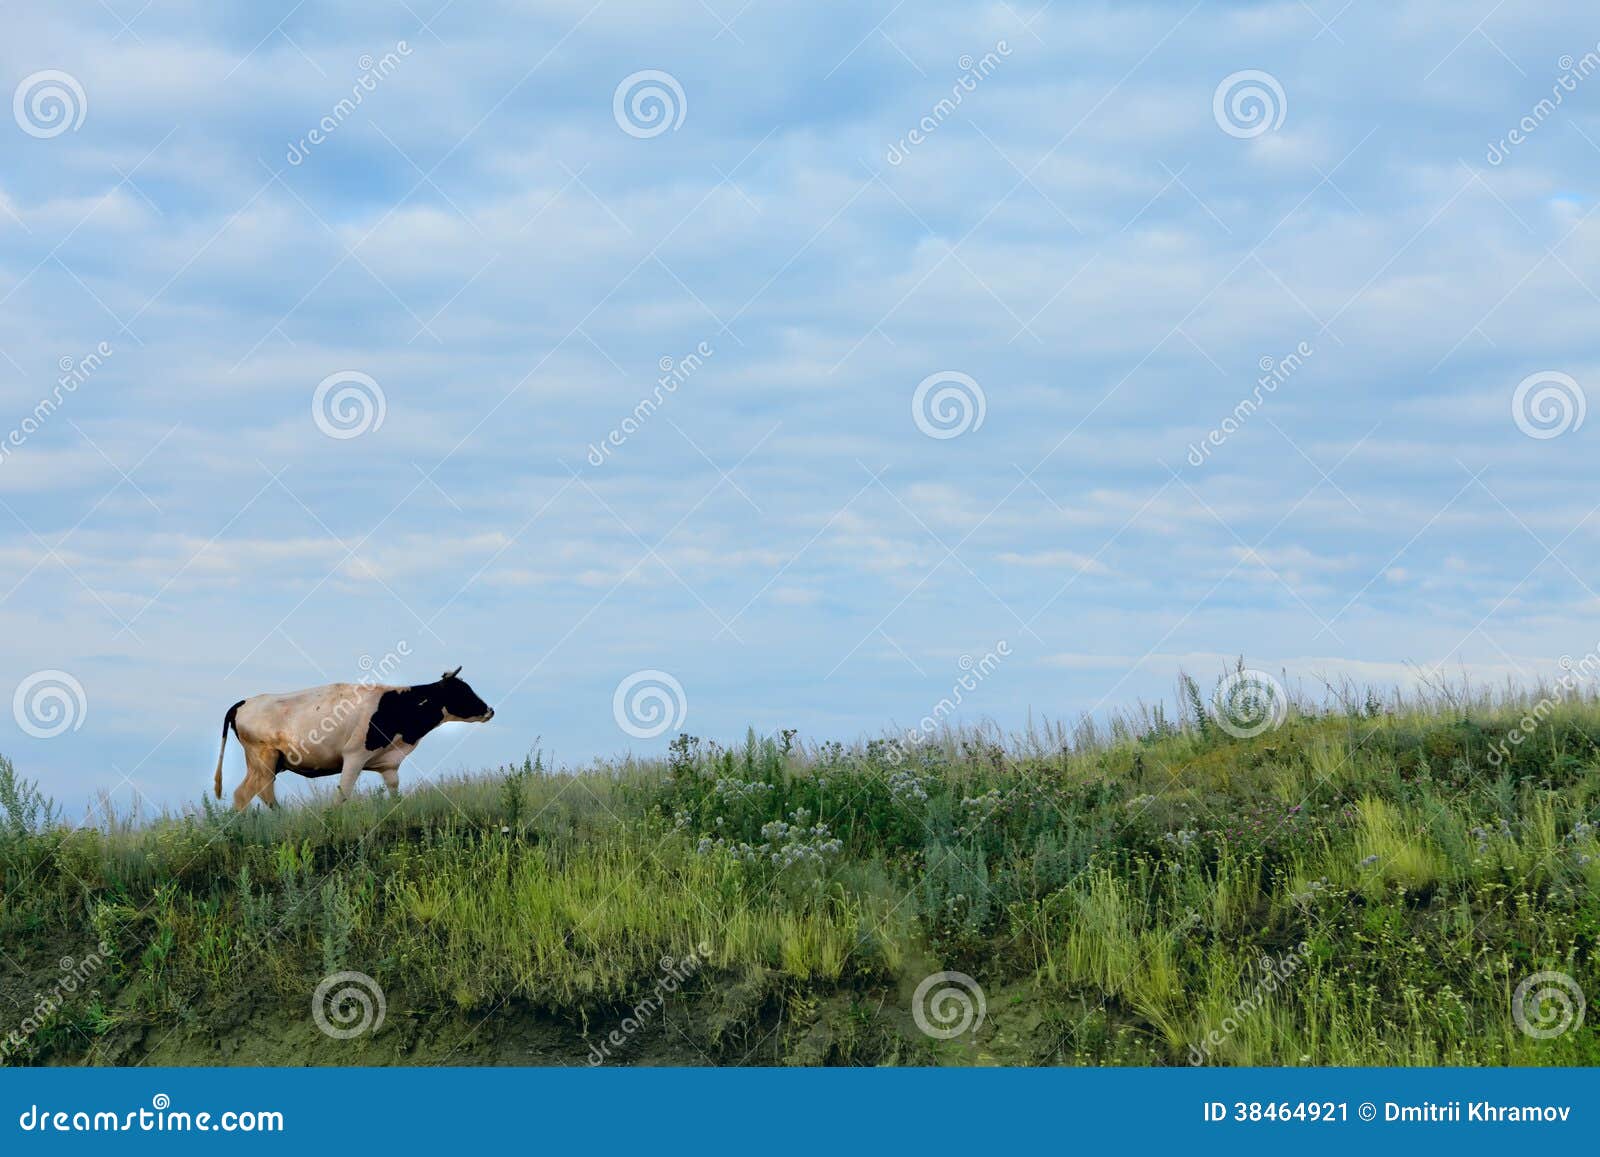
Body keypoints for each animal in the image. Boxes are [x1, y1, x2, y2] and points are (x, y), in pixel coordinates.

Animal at [213, 667, 494, 810]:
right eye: (463, 691)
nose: (490, 710)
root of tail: (243, 702)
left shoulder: (389, 763)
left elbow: (394, 791)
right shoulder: (354, 756)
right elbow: (344, 793)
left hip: (265, 764)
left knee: (257, 793)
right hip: (264, 758)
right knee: (247, 793)